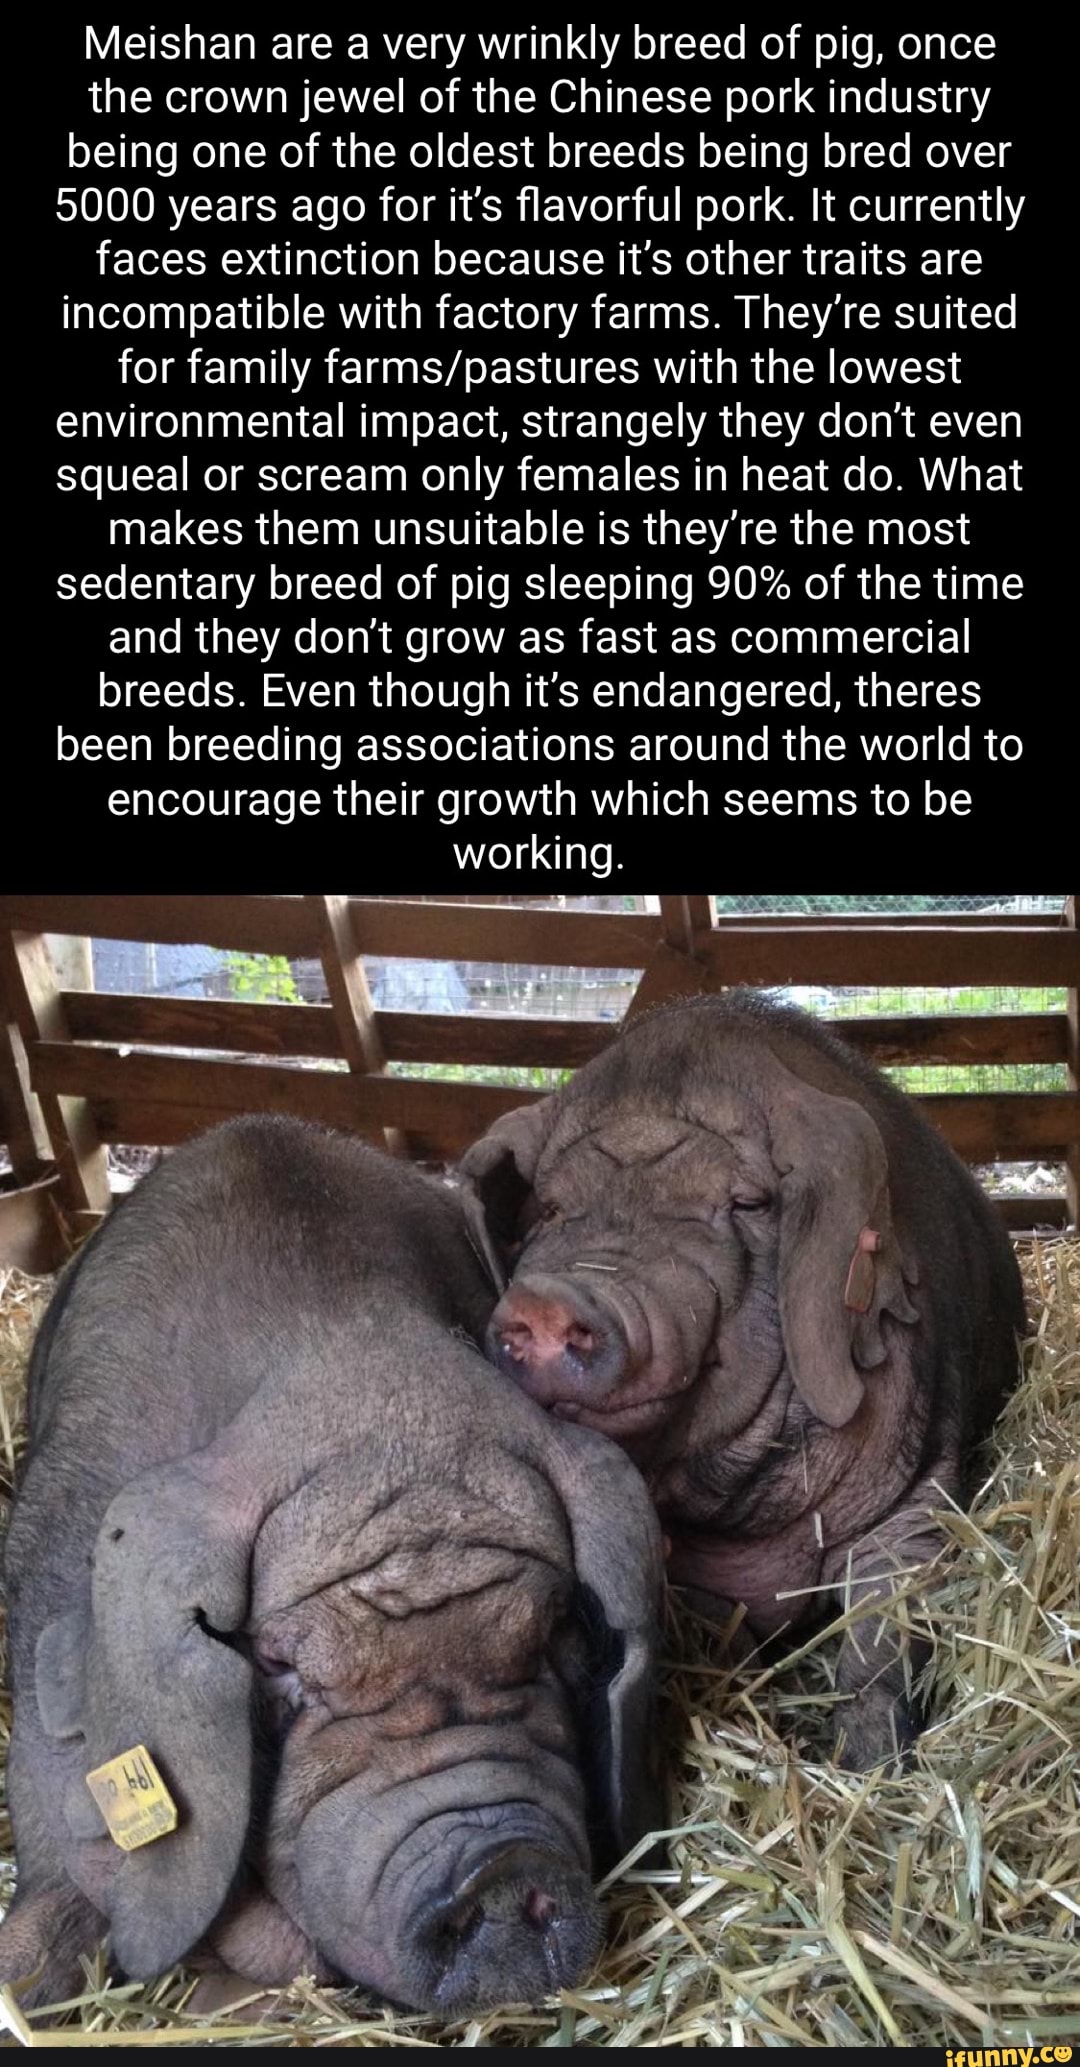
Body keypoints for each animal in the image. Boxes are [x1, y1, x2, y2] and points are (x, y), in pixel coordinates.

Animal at [459, 991, 1026, 1770]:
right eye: (548, 1207)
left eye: (746, 1203)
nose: (550, 1299)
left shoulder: (919, 1491)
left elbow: (881, 1638)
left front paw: (870, 1763)